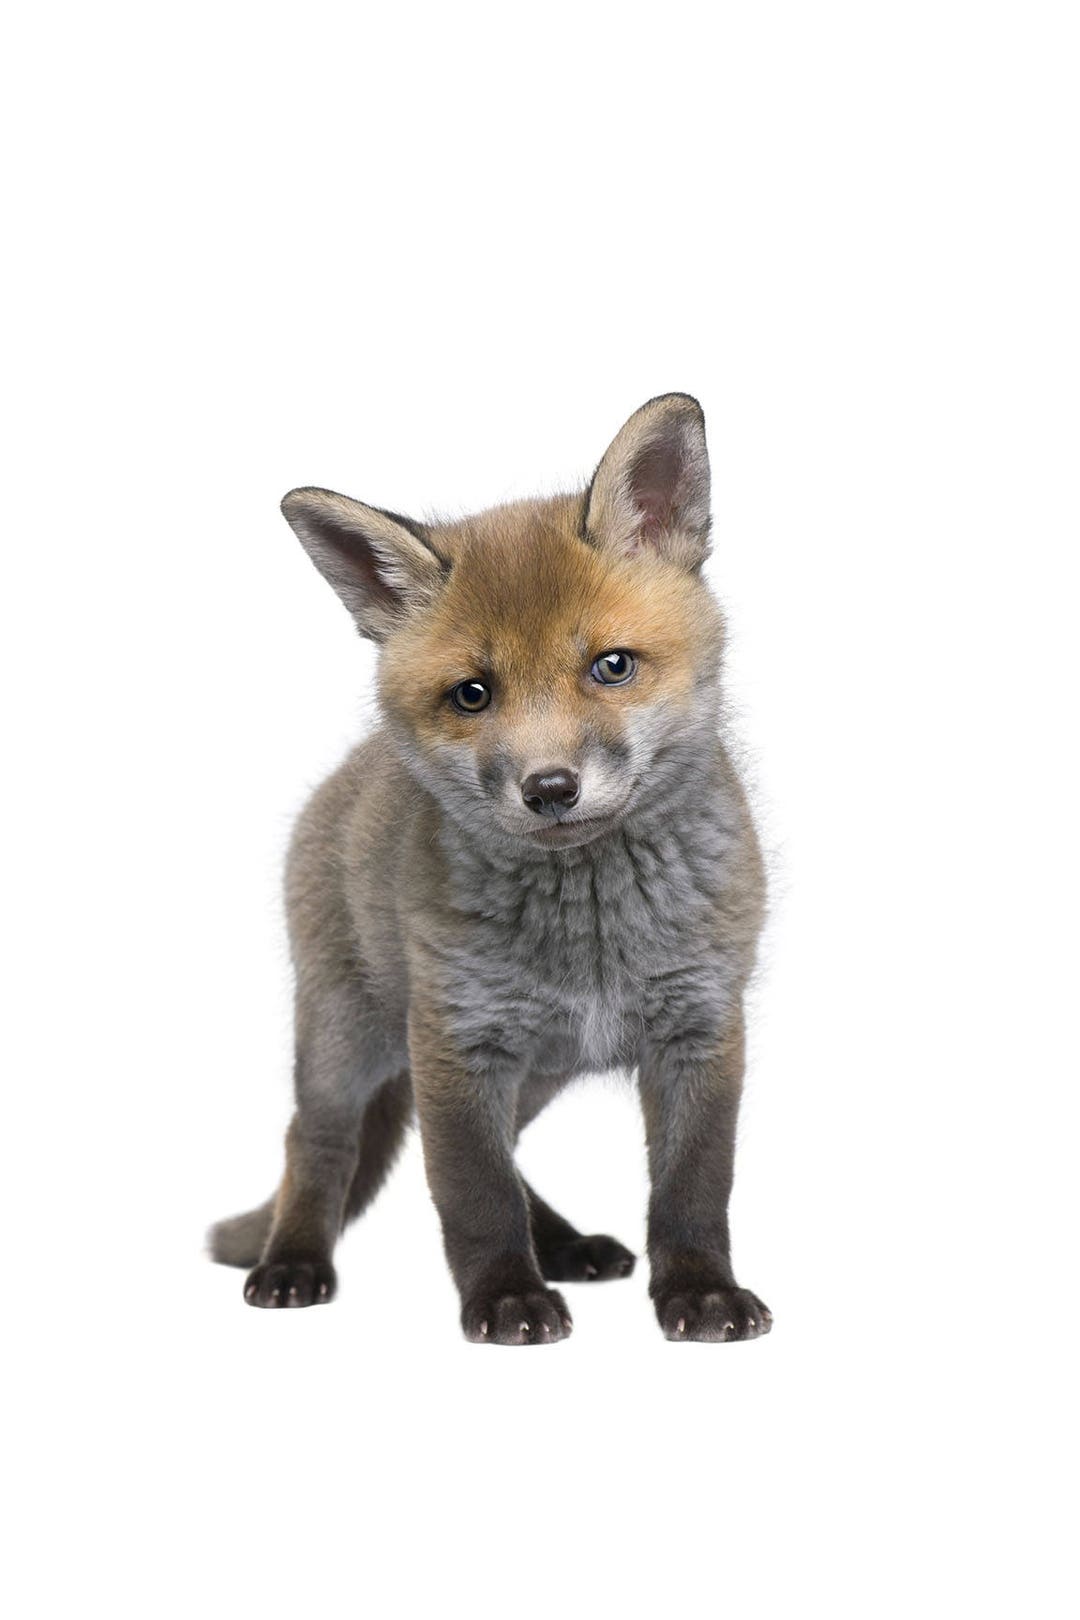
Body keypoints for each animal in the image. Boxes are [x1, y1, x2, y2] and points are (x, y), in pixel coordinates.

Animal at [208, 393, 771, 1345]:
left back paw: (569, 1247)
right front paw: (507, 1297)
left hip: (536, 1070)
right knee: (314, 1146)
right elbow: (474, 1195)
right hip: (345, 1041)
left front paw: (700, 1293)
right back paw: (293, 1263)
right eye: (474, 693)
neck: (591, 928)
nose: (550, 789)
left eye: (611, 666)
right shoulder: (456, 1042)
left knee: (512, 1153)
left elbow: (693, 1189)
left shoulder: (700, 1026)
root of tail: (347, 771)